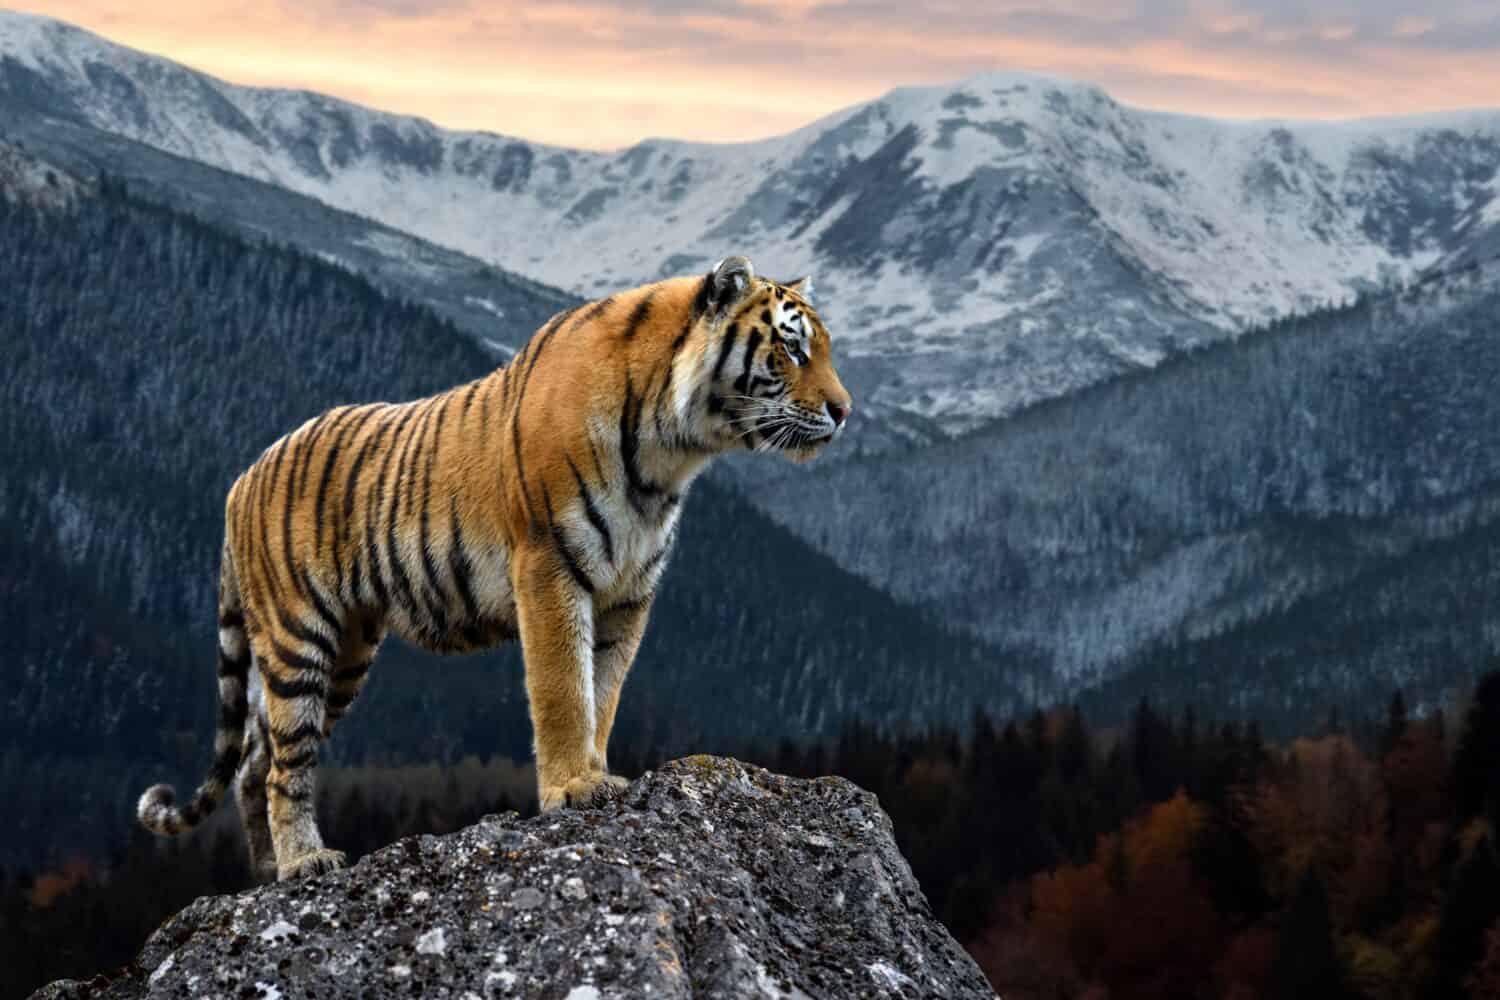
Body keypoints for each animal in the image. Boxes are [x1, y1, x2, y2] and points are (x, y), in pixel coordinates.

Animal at [135, 256, 853, 881]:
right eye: (792, 349)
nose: (845, 412)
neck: (670, 454)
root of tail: (241, 479)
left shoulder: (629, 594)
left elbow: (604, 692)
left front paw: (598, 773)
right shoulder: (550, 567)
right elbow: (564, 688)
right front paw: (574, 787)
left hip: (345, 654)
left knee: (256, 762)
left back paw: (266, 876)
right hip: (299, 638)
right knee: (286, 765)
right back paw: (306, 862)